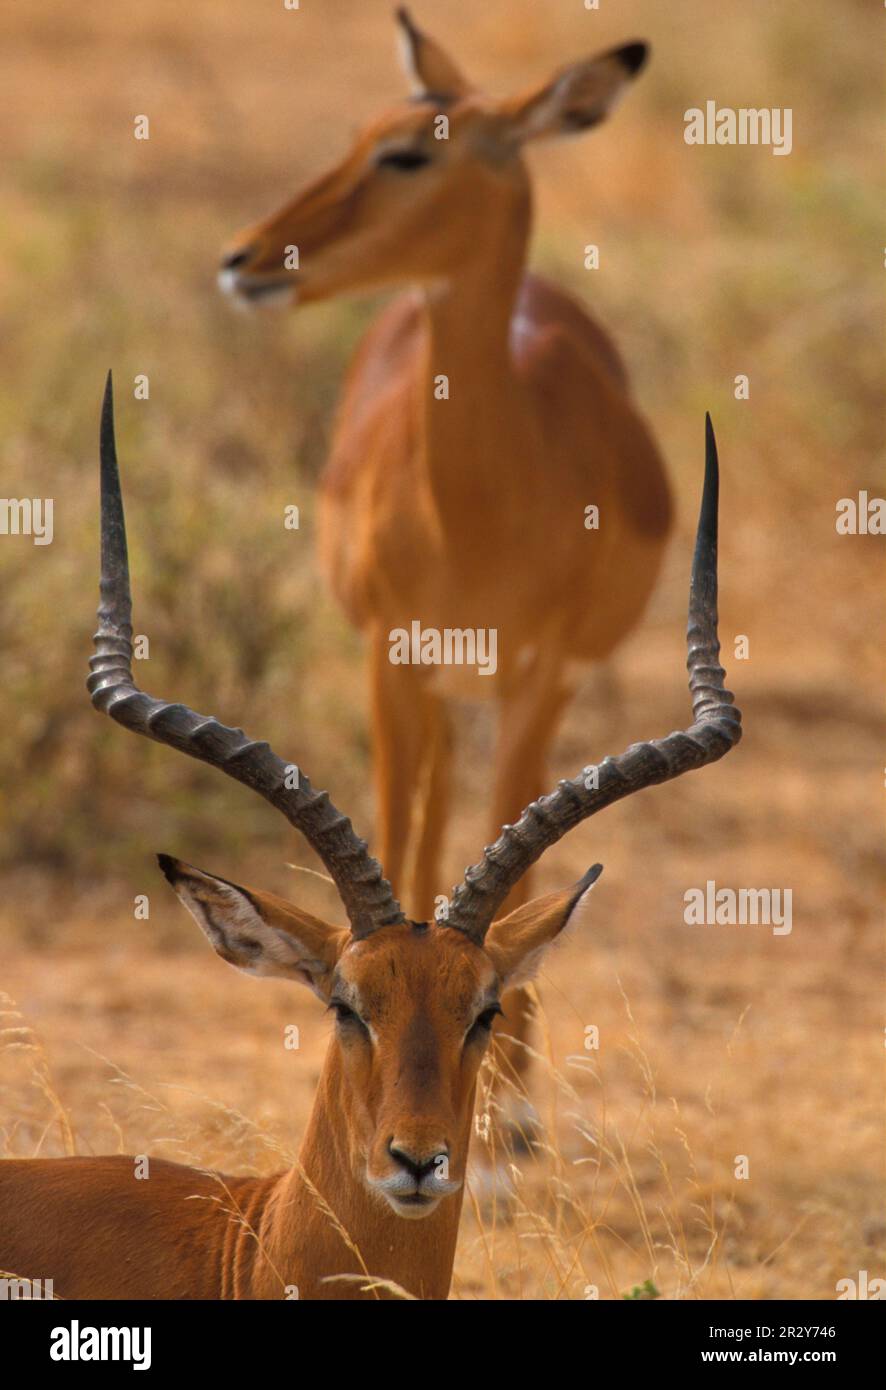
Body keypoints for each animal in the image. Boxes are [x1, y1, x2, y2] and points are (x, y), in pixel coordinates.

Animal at [218, 12, 673, 1086]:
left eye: (408, 152)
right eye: (359, 131)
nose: (246, 258)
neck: (480, 512)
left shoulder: (543, 679)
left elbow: (519, 880)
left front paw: (509, 1100)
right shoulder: (389, 657)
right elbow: (395, 848)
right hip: (427, 684)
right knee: (424, 831)